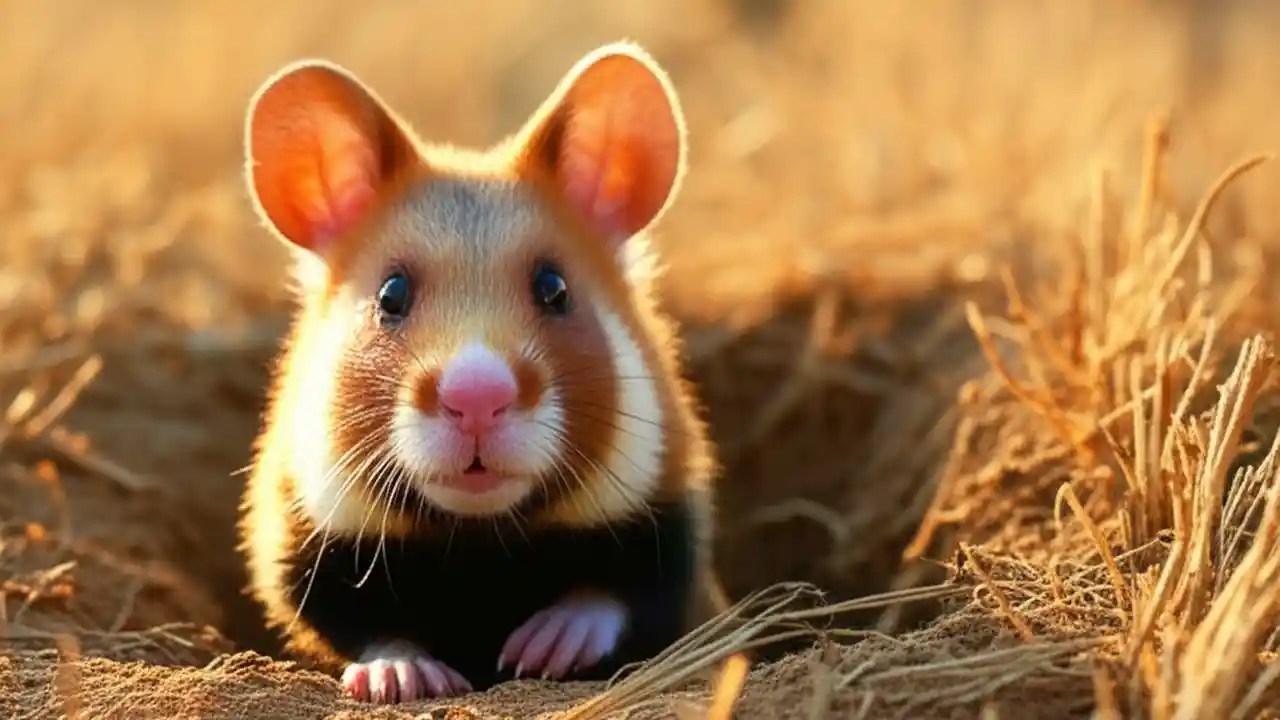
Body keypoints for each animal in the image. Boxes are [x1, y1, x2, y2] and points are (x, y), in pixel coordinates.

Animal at [236, 42, 729, 705]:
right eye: (391, 294)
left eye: (555, 288)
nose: (476, 398)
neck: (479, 538)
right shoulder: (301, 540)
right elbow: (353, 621)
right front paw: (405, 677)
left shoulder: (672, 522)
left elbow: (627, 591)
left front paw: (543, 648)